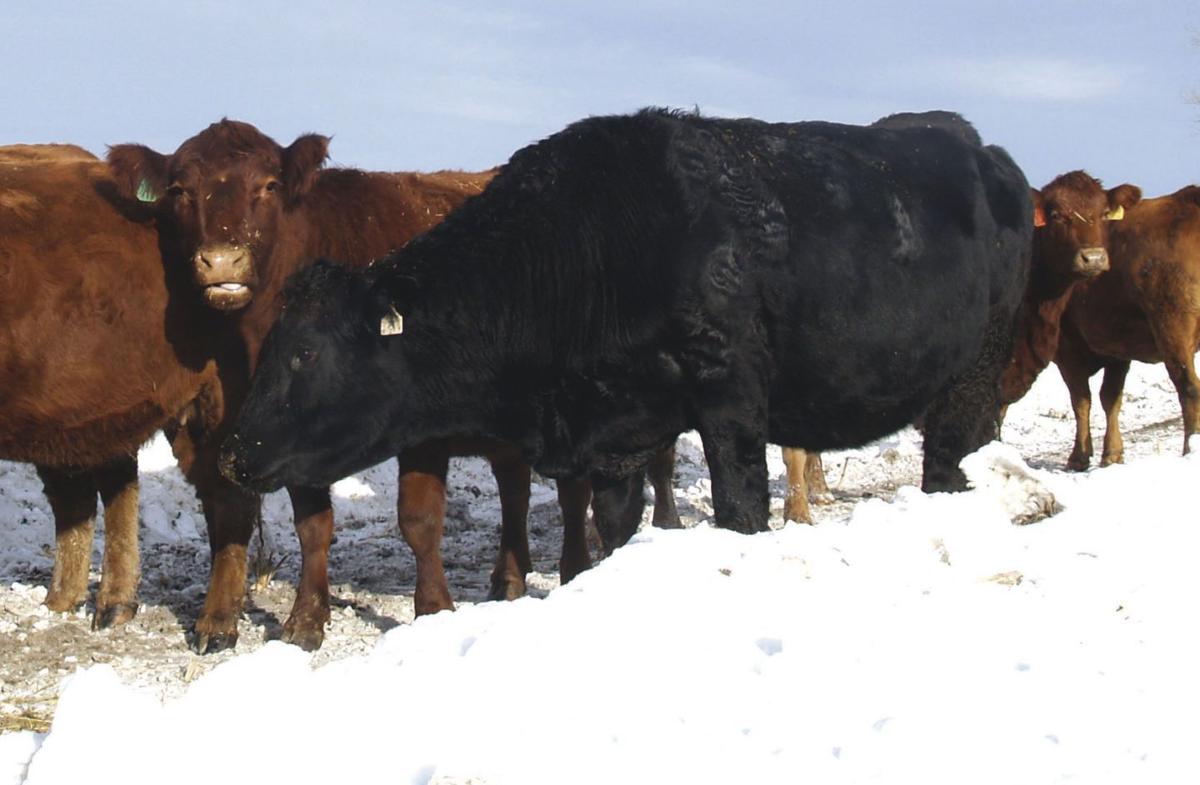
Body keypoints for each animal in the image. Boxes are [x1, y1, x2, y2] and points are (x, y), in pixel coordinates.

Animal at [1, 145, 246, 629]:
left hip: (211, 404)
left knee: (228, 498)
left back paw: (216, 625)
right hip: (84, 416)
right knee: (95, 495)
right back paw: (89, 601)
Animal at [221, 108, 1032, 543]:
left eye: (304, 354)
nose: (233, 453)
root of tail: (975, 142)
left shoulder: (732, 397)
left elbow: (741, 508)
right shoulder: (614, 432)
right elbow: (614, 526)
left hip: (973, 371)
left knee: (951, 456)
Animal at [1048, 185, 1200, 470]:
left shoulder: (1067, 347)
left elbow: (1081, 400)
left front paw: (1078, 456)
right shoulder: (1116, 346)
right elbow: (1110, 398)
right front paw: (1112, 453)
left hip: (1172, 327)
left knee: (1188, 387)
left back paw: (1190, 450)